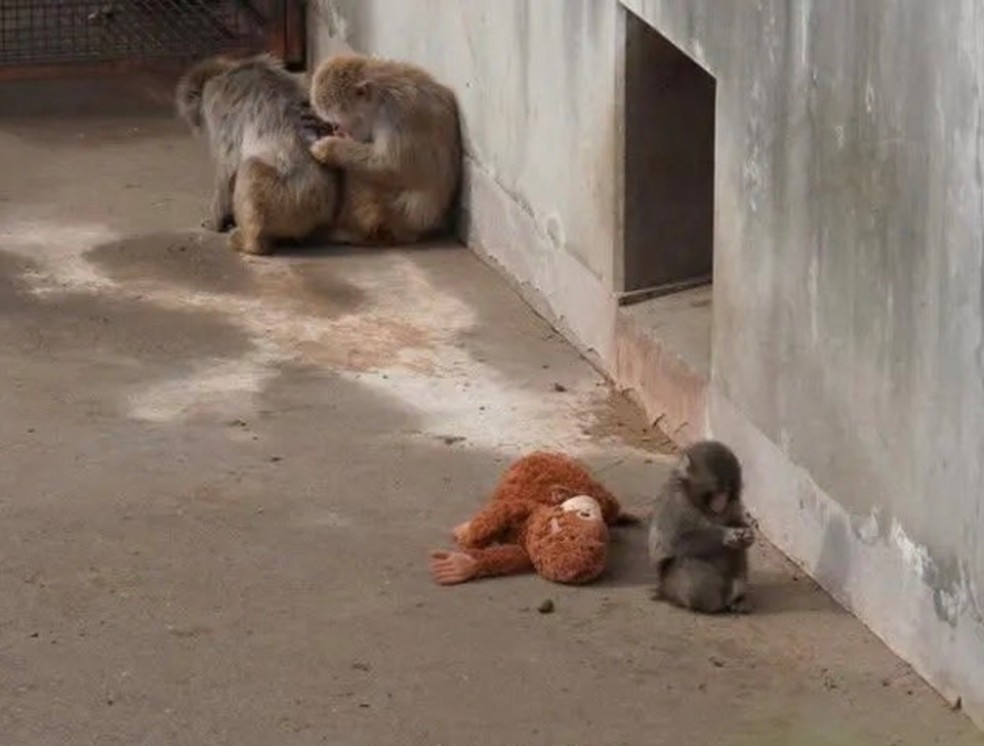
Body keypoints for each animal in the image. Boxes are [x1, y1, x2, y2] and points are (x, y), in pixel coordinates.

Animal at [175, 54, 340, 255]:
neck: (225, 71)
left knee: (249, 167)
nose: (195, 125)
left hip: (289, 201)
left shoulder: (217, 104)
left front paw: (215, 222)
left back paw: (251, 243)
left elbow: (227, 166)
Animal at [306, 53, 462, 246]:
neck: (381, 97)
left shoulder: (397, 115)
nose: (338, 129)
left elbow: (394, 165)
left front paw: (329, 148)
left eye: (339, 121)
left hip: (388, 214)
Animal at [647, 440, 754, 614]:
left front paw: (747, 534)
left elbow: (735, 520)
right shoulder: (676, 501)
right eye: (717, 489)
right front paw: (726, 536)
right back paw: (711, 605)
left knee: (737, 552)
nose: (722, 500)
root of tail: (663, 590)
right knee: (688, 560)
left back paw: (738, 599)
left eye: (728, 490)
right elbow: (677, 541)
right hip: (673, 587)